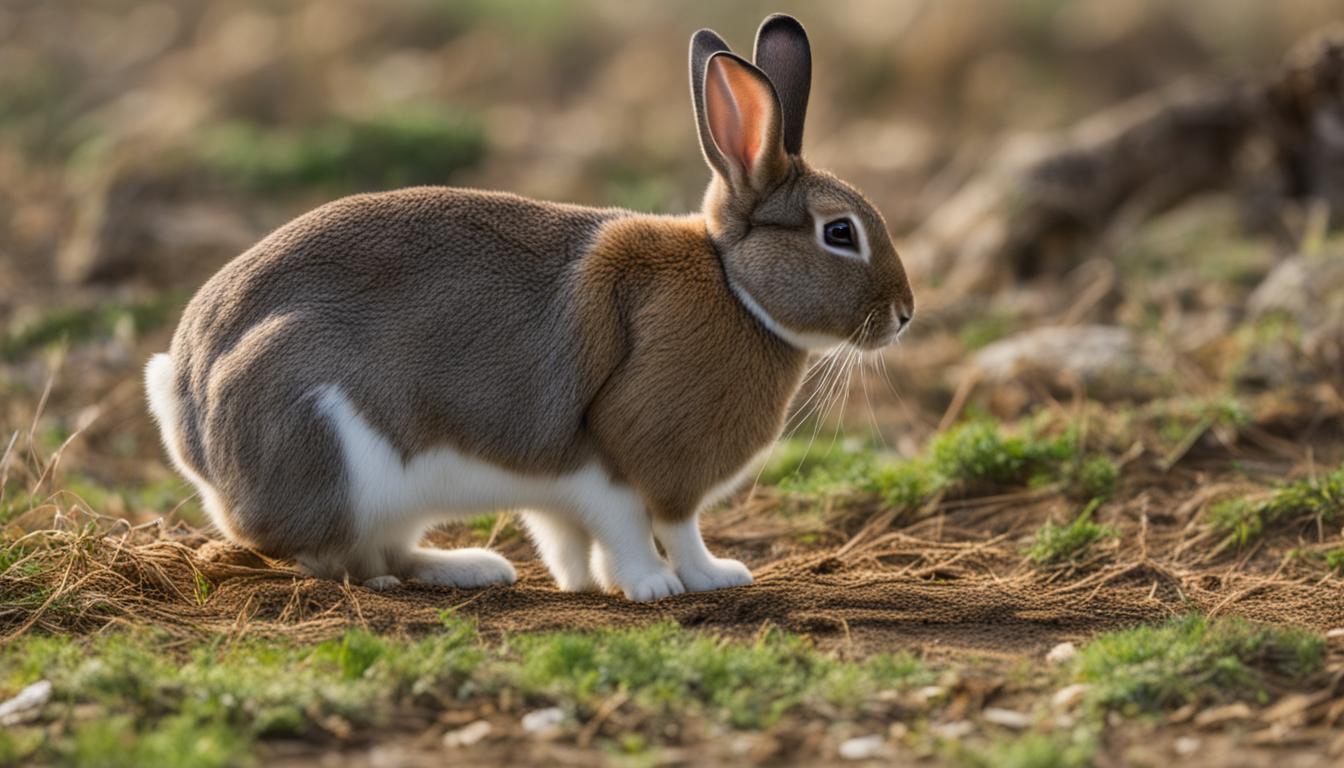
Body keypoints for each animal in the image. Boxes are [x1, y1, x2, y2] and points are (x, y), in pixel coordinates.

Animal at [145, 13, 914, 601]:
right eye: (839, 233)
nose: (905, 313)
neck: (734, 286)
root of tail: (186, 406)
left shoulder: (566, 489)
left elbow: (574, 537)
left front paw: (594, 583)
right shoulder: (626, 463)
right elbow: (660, 530)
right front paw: (678, 583)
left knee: (387, 547)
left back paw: (469, 568)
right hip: (332, 450)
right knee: (336, 555)